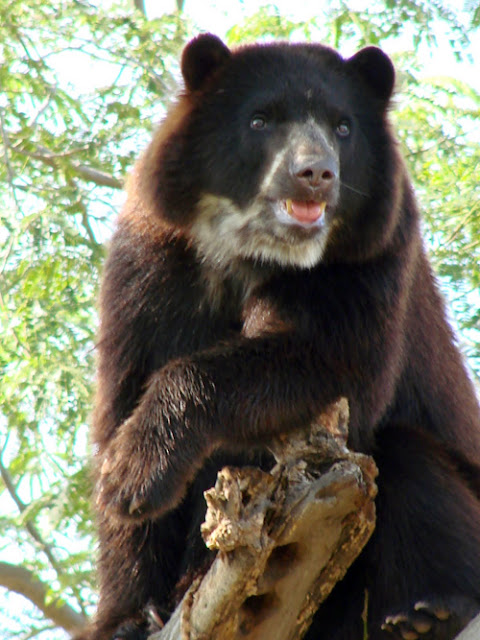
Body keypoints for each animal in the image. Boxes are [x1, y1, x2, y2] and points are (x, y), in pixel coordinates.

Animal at [83, 34, 480, 640]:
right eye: (260, 119)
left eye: (343, 126)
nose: (315, 173)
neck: (249, 252)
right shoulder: (149, 266)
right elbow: (121, 401)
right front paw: (129, 603)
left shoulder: (365, 258)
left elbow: (329, 361)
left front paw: (140, 473)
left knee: (410, 461)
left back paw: (427, 614)